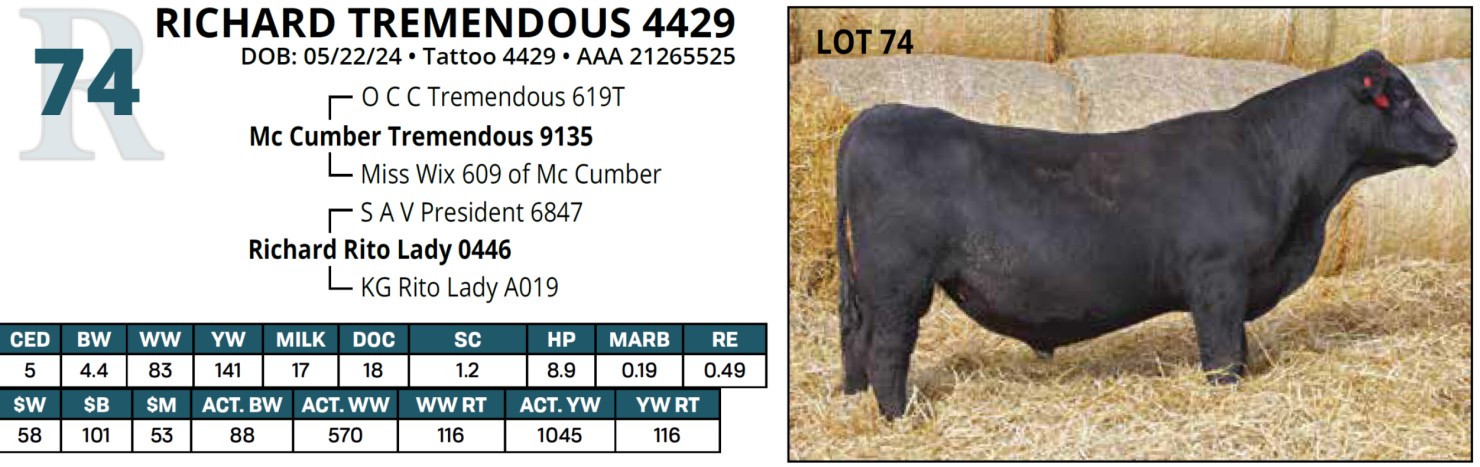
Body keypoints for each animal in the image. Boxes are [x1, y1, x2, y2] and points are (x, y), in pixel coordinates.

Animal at [834, 50, 1457, 419]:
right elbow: (1223, 351)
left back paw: (854, 397)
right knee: (888, 348)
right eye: (1402, 97)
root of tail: (876, 115)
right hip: (899, 285)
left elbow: (1239, 345)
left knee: (855, 339)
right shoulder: (1218, 279)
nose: (1452, 140)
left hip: (871, 287)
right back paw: (901, 416)